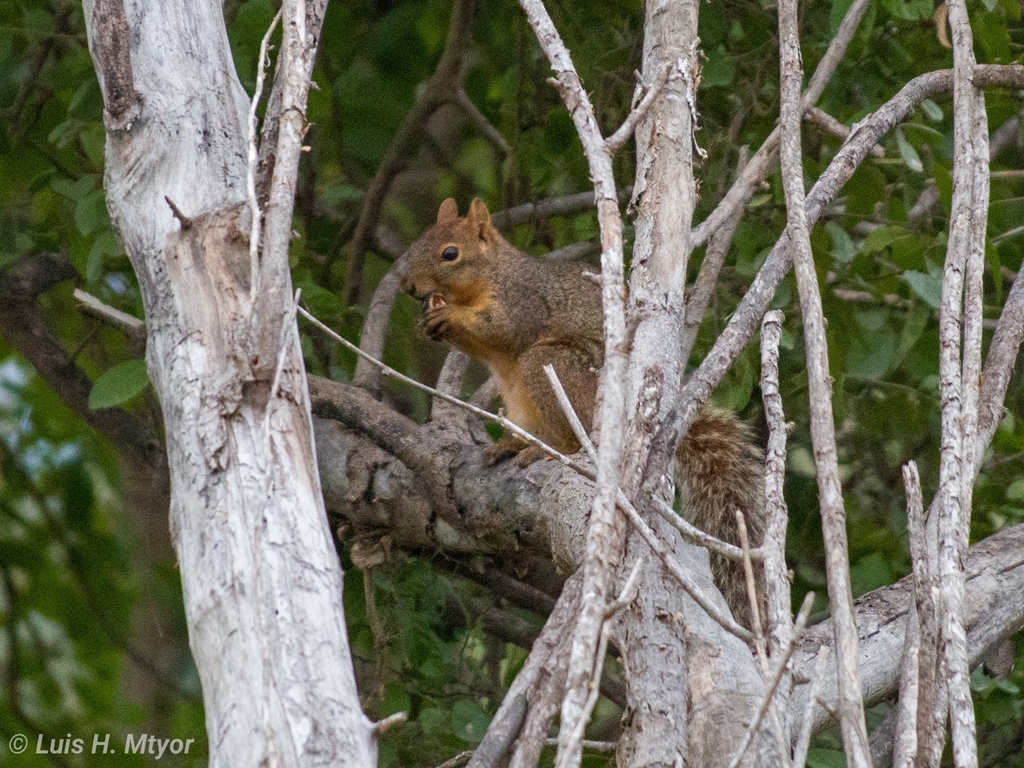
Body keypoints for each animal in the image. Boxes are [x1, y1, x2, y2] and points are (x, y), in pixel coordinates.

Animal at [400, 197, 766, 630]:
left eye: (450, 253)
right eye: (419, 241)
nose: (408, 287)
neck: (489, 275)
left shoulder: (522, 302)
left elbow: (503, 330)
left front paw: (448, 317)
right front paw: (429, 321)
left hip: (554, 370)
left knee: (572, 440)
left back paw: (543, 451)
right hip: (519, 403)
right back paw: (513, 444)